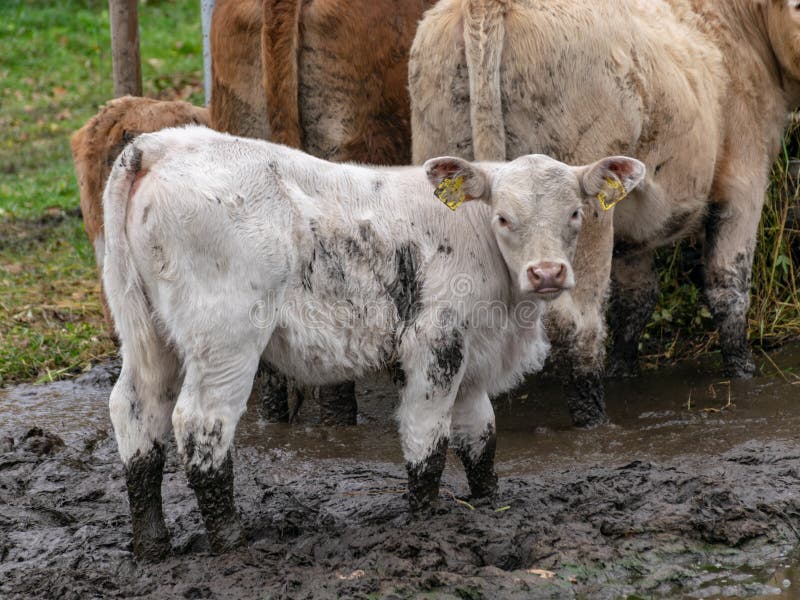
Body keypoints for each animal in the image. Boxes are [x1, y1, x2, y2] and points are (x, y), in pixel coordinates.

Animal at [102, 125, 645, 558]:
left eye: (575, 213)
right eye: (504, 218)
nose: (547, 272)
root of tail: (162, 144)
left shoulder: (471, 355)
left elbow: (480, 436)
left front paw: (489, 505)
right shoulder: (434, 344)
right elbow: (428, 439)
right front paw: (425, 520)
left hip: (148, 333)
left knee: (135, 413)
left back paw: (151, 546)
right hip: (225, 338)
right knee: (201, 424)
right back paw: (232, 542)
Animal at [408, 0, 800, 426]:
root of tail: (484, 6)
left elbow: (637, 297)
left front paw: (623, 371)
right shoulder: (744, 183)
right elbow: (728, 284)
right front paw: (743, 372)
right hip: (579, 215)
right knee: (578, 321)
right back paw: (591, 416)